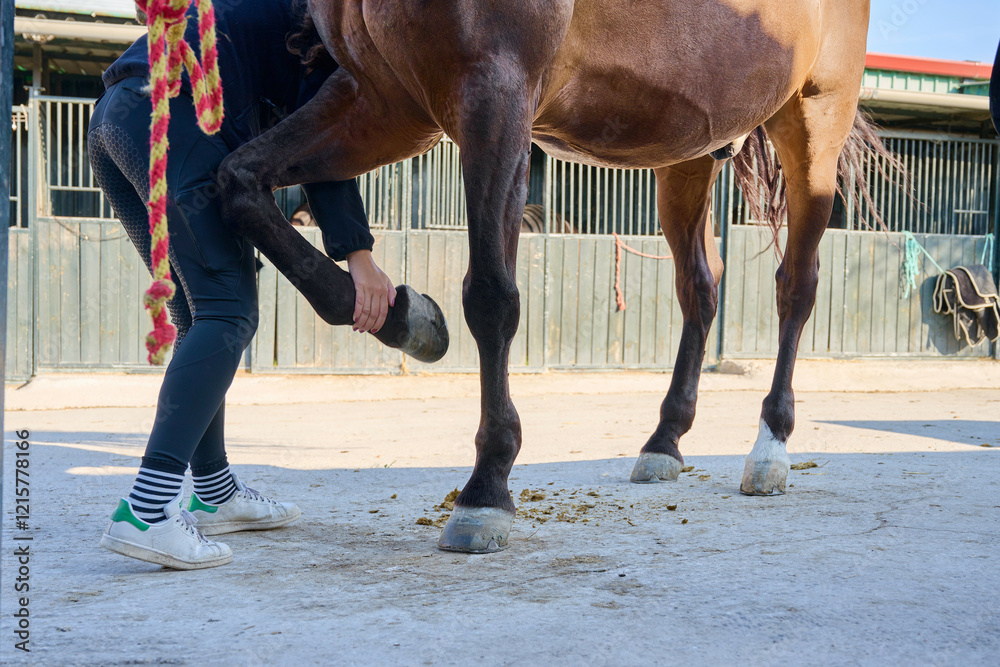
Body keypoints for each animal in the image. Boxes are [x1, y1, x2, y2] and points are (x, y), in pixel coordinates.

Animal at [217, 0, 891, 553]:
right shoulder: (382, 101)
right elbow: (240, 183)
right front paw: (409, 319)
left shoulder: (495, 95)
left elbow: (491, 297)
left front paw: (486, 490)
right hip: (688, 155)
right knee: (699, 289)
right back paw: (664, 441)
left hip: (814, 123)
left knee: (795, 285)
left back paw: (769, 450)